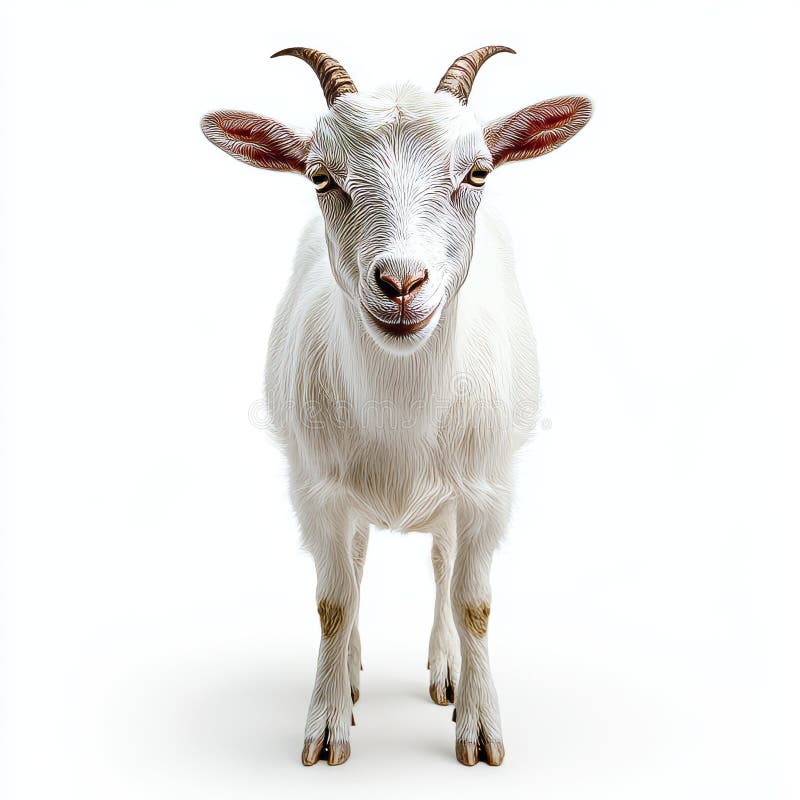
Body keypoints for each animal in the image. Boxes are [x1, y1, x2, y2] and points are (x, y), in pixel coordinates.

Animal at [201, 45, 591, 767]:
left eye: (478, 171)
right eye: (320, 176)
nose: (402, 283)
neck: (402, 416)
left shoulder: (488, 491)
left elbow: (473, 603)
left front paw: (481, 727)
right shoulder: (316, 490)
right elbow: (333, 601)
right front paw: (327, 724)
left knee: (441, 566)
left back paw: (447, 671)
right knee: (355, 567)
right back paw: (353, 672)